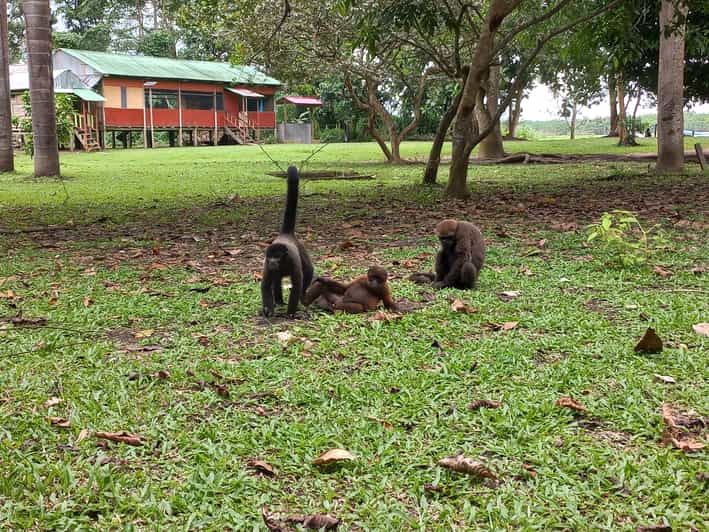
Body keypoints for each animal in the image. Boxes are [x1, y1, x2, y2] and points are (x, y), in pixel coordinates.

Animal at [261, 166, 314, 317]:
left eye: (277, 257)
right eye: (270, 257)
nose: (273, 262)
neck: (282, 263)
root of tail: (286, 234)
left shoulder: (293, 260)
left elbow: (297, 285)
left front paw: (290, 313)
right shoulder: (266, 264)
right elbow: (265, 286)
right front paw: (268, 310)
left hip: (300, 247)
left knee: (308, 271)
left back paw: (301, 297)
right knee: (276, 279)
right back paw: (278, 301)